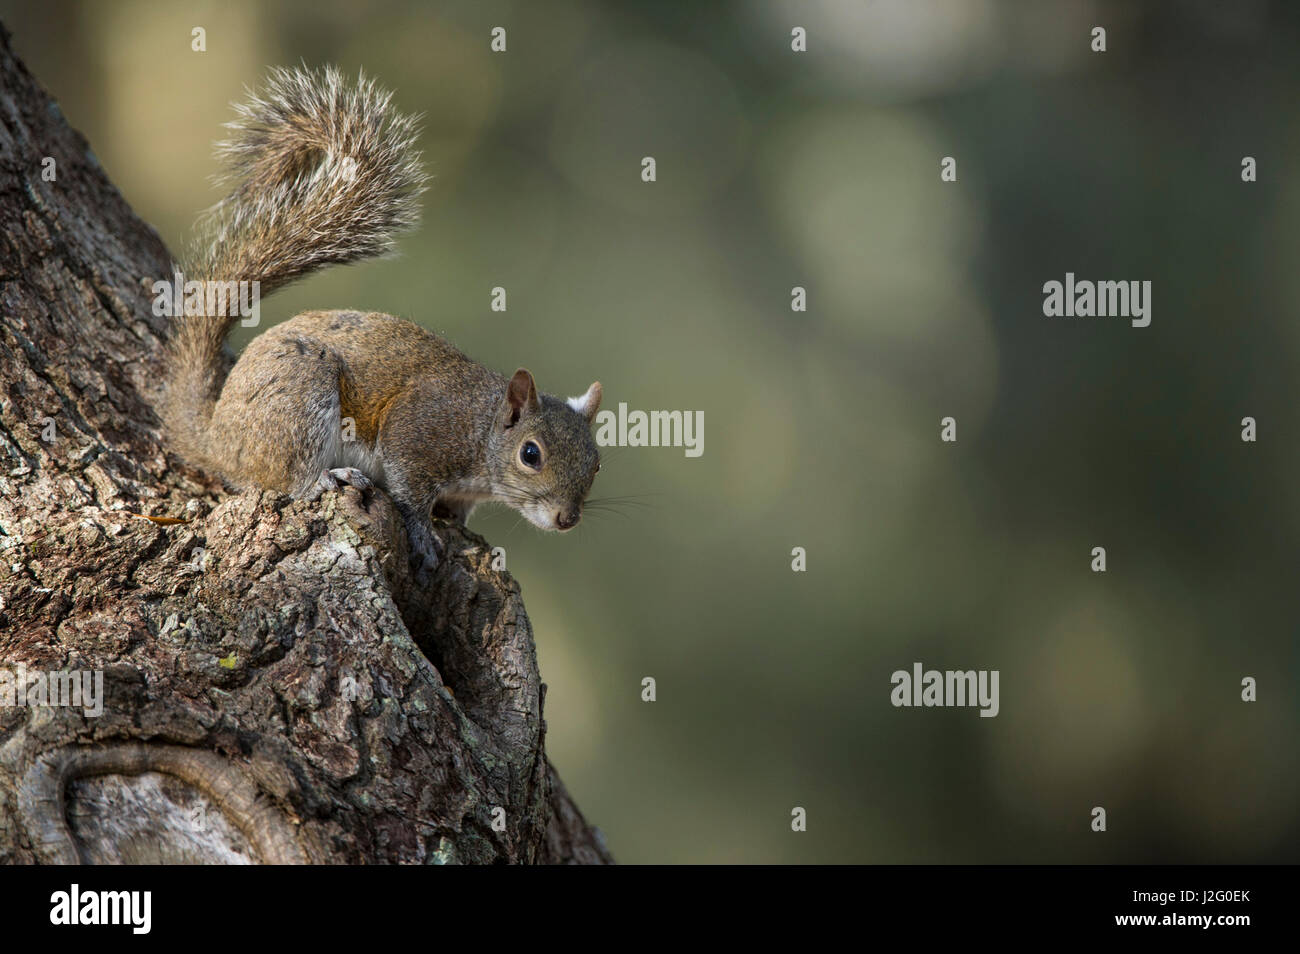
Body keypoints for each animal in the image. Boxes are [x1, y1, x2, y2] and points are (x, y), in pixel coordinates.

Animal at [159, 66, 603, 565]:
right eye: (530, 454)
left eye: (596, 462)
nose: (567, 518)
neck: (481, 429)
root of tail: (215, 438)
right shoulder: (419, 431)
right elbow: (409, 488)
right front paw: (424, 534)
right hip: (299, 397)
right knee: (284, 476)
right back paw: (324, 478)